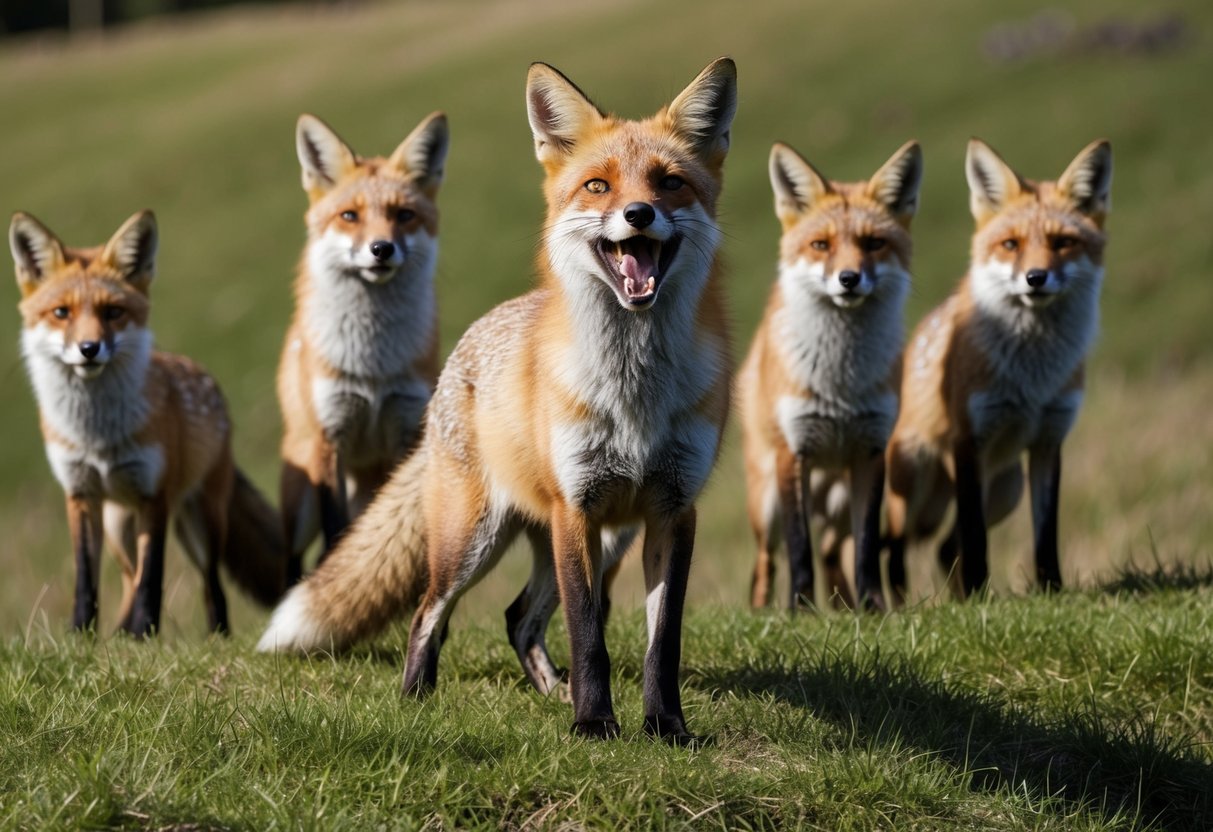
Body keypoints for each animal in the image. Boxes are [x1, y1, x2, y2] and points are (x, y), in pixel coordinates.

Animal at [11, 210, 285, 636]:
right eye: (61, 313)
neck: (97, 436)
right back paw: (121, 635)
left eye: (113, 312)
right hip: (117, 528)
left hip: (200, 524)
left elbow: (153, 576)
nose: (89, 349)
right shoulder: (80, 494)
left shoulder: (154, 493)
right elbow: (86, 578)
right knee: (128, 578)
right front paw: (82, 635)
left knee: (211, 586)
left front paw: (145, 632)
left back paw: (212, 635)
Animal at [278, 111, 448, 584]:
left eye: (404, 215)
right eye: (349, 216)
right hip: (300, 507)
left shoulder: (406, 428)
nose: (381, 249)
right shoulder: (329, 439)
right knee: (297, 559)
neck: (374, 365)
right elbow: (337, 537)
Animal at [740, 141, 922, 612]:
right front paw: (800, 611)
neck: (841, 381)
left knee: (831, 551)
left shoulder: (871, 453)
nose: (849, 279)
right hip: (766, 505)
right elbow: (799, 548)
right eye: (821, 245)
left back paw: (845, 607)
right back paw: (765, 610)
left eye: (874, 243)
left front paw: (874, 608)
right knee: (767, 562)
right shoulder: (793, 453)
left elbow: (866, 547)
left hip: (839, 503)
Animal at [884, 138, 1112, 599]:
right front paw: (977, 596)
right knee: (896, 551)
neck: (1032, 375)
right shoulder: (969, 440)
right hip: (912, 480)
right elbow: (975, 540)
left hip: (1007, 489)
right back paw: (898, 605)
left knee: (944, 547)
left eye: (1063, 242)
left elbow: (1045, 536)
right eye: (1011, 244)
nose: (1035, 277)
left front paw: (1051, 592)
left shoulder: (1048, 441)